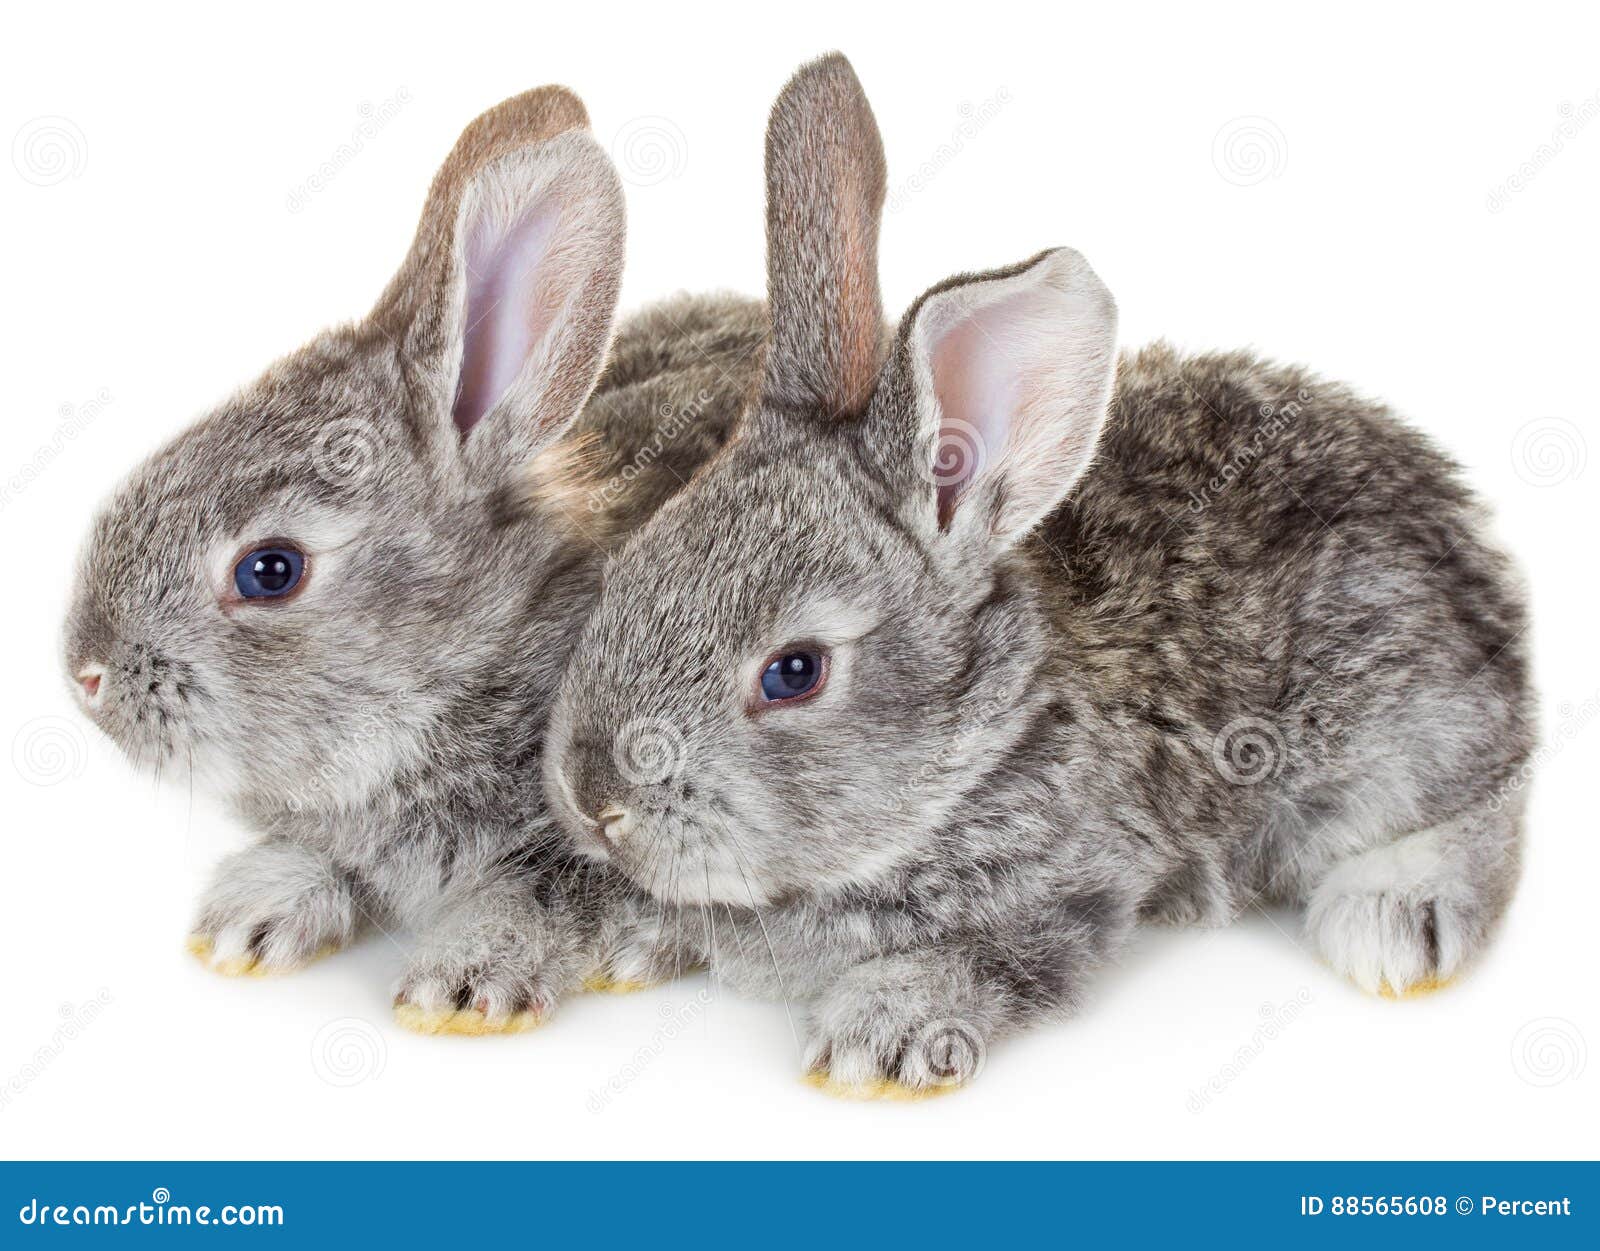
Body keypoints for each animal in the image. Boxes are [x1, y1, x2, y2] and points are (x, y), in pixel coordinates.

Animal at [541, 53, 1536, 1095]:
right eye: (626, 569)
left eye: (794, 672)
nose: (592, 799)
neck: (974, 755)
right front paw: (622, 940)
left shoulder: (1077, 887)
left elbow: (996, 956)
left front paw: (877, 1035)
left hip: (1397, 725)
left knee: (1490, 799)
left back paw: (1394, 920)